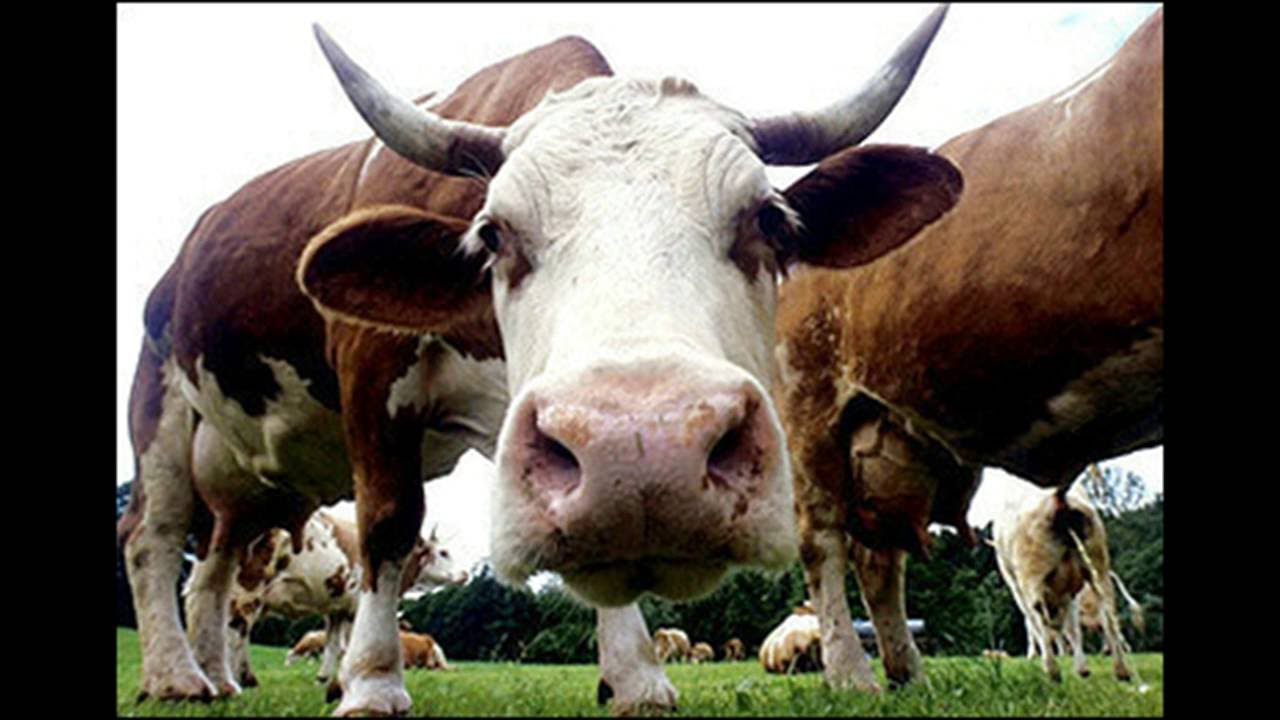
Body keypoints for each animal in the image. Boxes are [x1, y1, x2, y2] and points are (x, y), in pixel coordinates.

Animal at [214, 511, 466, 688]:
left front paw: (322, 679)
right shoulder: (357, 606)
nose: (465, 574)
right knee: (235, 628)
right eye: (444, 552)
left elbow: (333, 645)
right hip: (248, 583)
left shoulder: (337, 609)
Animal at [992, 478, 1133, 682]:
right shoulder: (1070, 593)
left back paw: (1052, 670)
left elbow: (1035, 625)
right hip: (1098, 568)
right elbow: (1072, 627)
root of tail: (1055, 497)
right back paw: (1121, 669)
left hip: (1031, 576)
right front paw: (1081, 667)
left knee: (1039, 616)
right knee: (1108, 615)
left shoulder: (1018, 588)